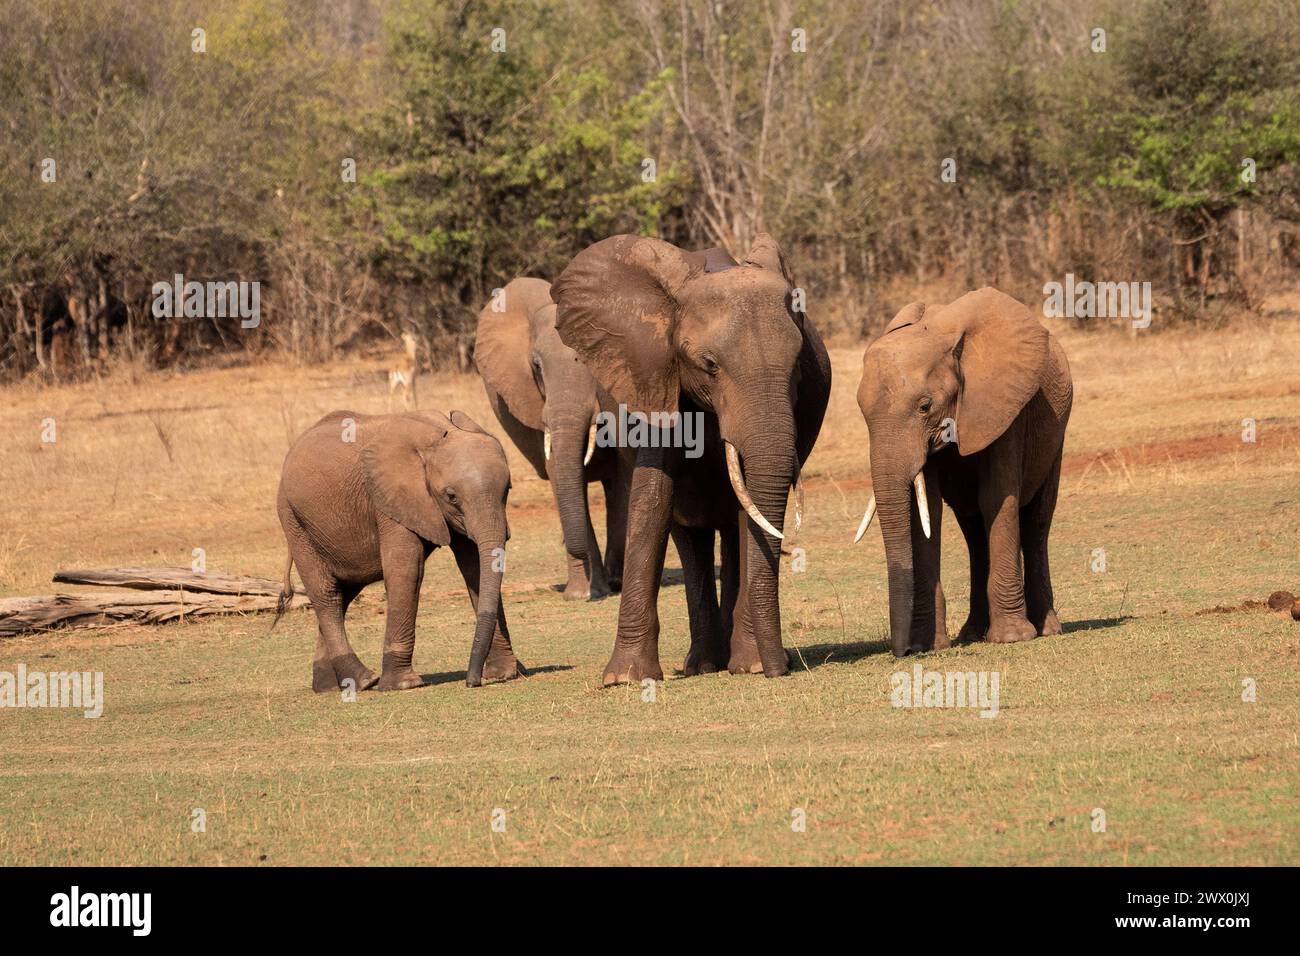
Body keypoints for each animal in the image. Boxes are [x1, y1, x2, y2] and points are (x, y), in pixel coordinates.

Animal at [275, 409, 525, 691]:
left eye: (507, 489)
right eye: (451, 496)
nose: (472, 682)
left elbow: (475, 568)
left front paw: (503, 674)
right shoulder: (388, 499)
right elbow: (406, 569)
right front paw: (403, 685)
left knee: (344, 593)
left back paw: (331, 686)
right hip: (294, 520)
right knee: (326, 594)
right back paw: (365, 681)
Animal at [551, 233, 832, 685]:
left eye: (798, 367)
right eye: (709, 364)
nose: (782, 668)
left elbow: (749, 510)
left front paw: (752, 666)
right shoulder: (655, 380)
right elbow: (652, 500)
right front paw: (625, 679)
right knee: (689, 536)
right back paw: (702, 665)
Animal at [853, 287, 1073, 657]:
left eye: (925, 406)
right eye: (862, 413)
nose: (903, 651)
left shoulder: (1005, 405)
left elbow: (998, 497)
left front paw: (1013, 638)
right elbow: (928, 512)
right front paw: (930, 645)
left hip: (1056, 433)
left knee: (1036, 523)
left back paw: (1047, 629)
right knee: (974, 531)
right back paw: (972, 633)